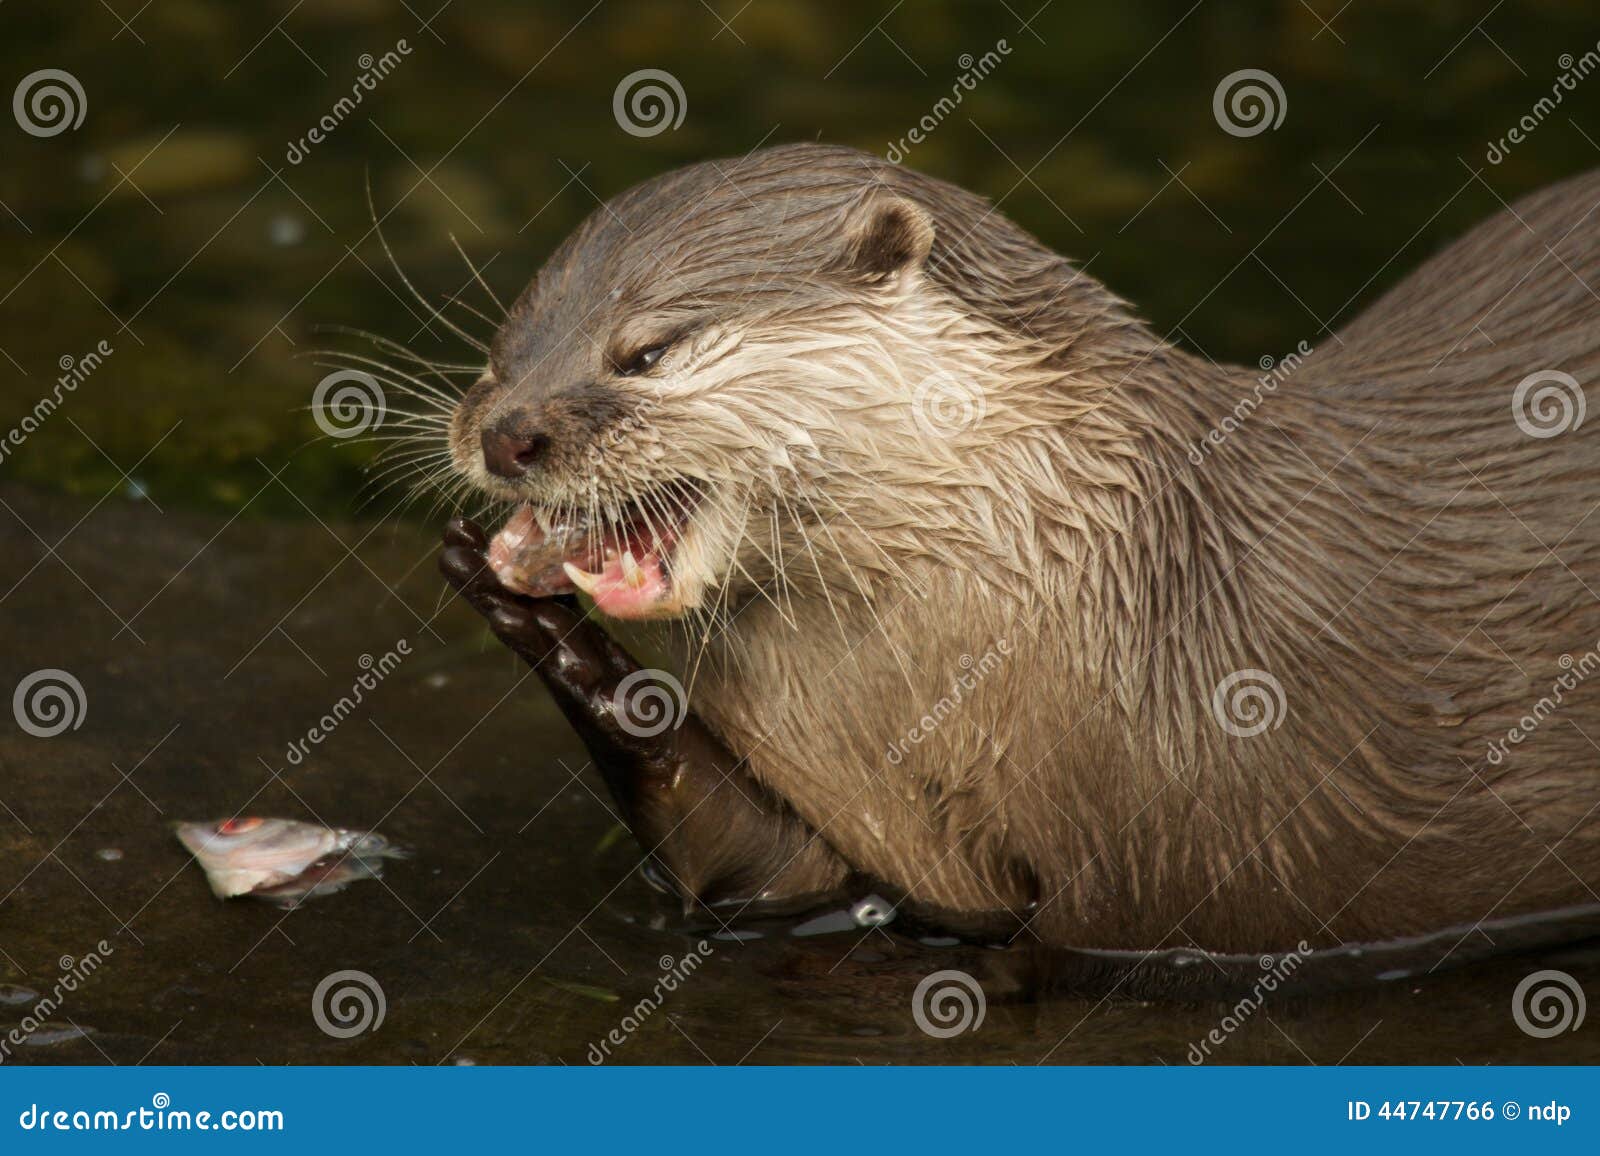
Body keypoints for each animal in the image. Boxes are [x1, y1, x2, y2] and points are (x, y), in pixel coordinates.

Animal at [436, 143, 1600, 955]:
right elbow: (765, 874)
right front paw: (568, 653)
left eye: (646, 351)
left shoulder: (1191, 862)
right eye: (499, 353)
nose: (507, 433)